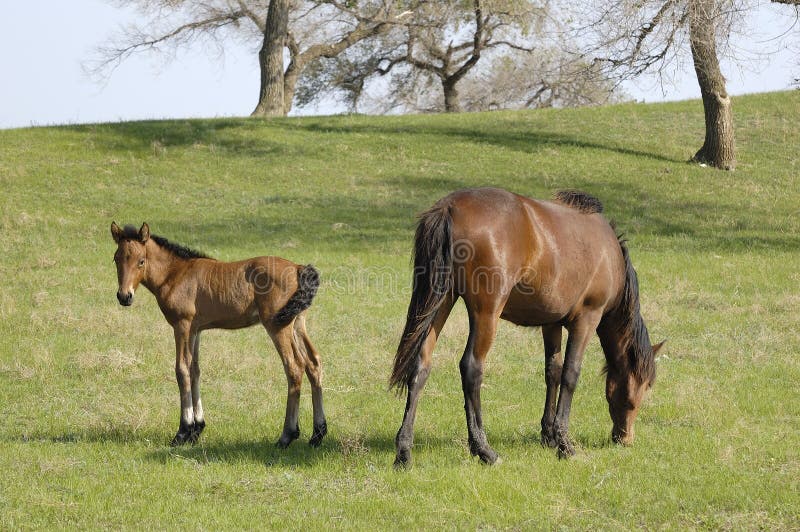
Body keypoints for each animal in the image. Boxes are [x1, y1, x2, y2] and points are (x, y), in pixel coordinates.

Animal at [110, 222, 327, 448]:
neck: (175, 273)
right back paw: (317, 434)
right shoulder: (196, 330)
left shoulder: (182, 325)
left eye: (141, 261)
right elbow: (194, 370)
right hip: (297, 324)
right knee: (313, 363)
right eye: (116, 258)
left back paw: (287, 435)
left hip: (278, 326)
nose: (124, 296)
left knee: (294, 367)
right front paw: (197, 429)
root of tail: (298, 268)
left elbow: (181, 370)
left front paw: (182, 431)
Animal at [390, 188, 663, 466]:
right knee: (471, 368)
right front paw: (564, 444)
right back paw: (483, 449)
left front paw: (549, 435)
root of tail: (450, 207)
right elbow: (570, 375)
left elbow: (553, 372)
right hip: (486, 313)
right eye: (642, 388)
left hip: (441, 301)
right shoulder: (586, 319)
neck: (610, 255)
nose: (625, 439)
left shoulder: (551, 322)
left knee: (421, 367)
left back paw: (404, 451)